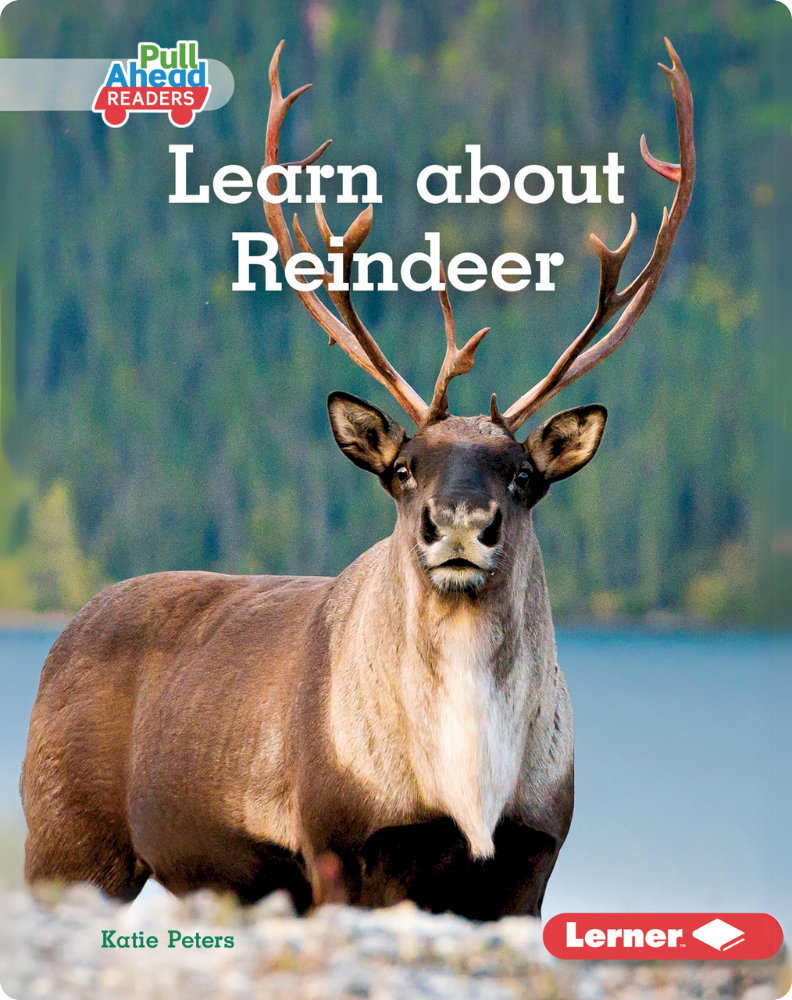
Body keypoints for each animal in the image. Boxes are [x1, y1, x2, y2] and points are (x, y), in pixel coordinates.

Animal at [21, 40, 694, 919]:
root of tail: (63, 633)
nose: (459, 523)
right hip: (65, 841)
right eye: (403, 469)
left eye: (522, 474)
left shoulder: (531, 858)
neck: (468, 779)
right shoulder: (341, 847)